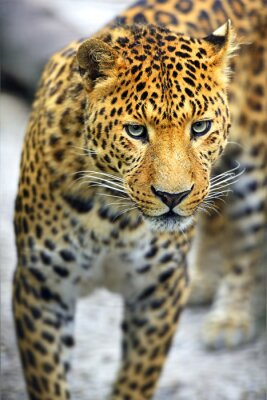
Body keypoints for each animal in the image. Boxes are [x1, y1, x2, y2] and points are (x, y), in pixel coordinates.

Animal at [13, 0, 266, 400]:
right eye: (135, 131)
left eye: (200, 127)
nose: (173, 196)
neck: (111, 218)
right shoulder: (41, 287)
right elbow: (47, 379)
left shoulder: (160, 289)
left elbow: (136, 378)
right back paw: (203, 282)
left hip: (253, 170)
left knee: (245, 238)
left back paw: (229, 318)